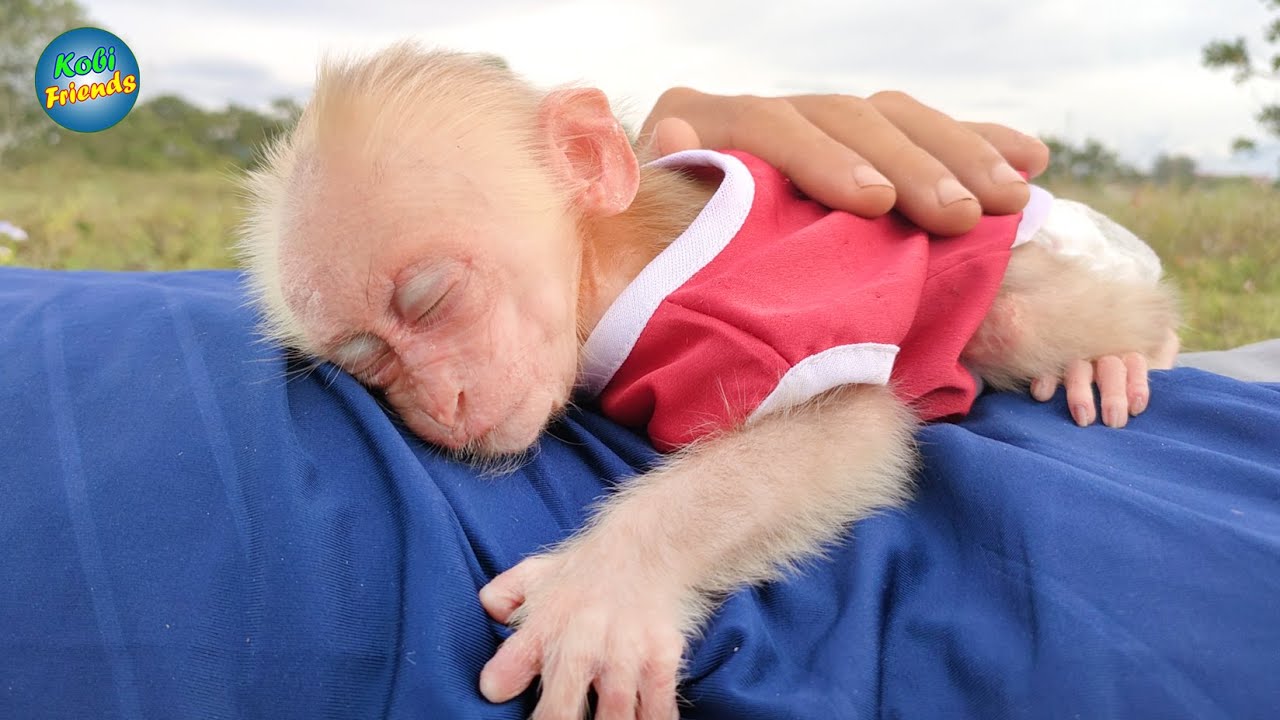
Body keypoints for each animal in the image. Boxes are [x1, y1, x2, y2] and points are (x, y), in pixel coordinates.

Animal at [236, 44, 1179, 720]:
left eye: (431, 301)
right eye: (370, 362)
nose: (439, 406)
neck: (620, 268)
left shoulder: (749, 308)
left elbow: (850, 422)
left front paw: (611, 583)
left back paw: (1118, 352)